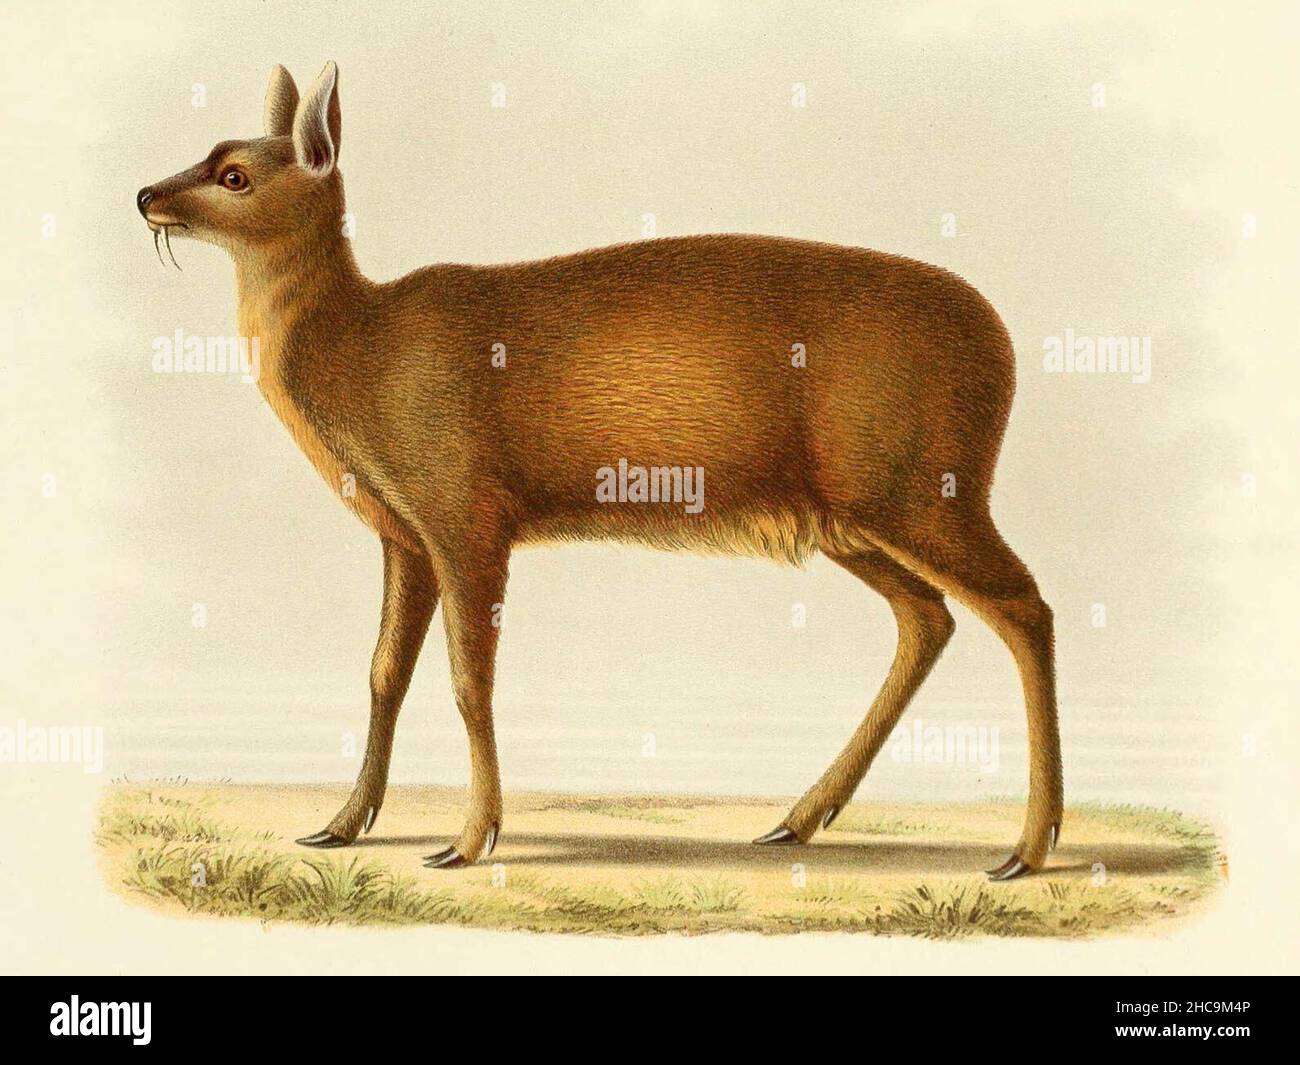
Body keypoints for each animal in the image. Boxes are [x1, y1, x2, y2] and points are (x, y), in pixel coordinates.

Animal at [137, 62, 1061, 880]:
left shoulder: (466, 508)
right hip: (852, 513)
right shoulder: (402, 531)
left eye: (234, 174)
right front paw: (341, 822)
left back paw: (1028, 846)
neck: (363, 354)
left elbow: (469, 681)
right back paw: (800, 818)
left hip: (921, 486)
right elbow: (382, 674)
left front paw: (469, 839)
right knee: (929, 617)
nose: (146, 195)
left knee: (1025, 607)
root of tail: (1005, 347)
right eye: (208, 149)